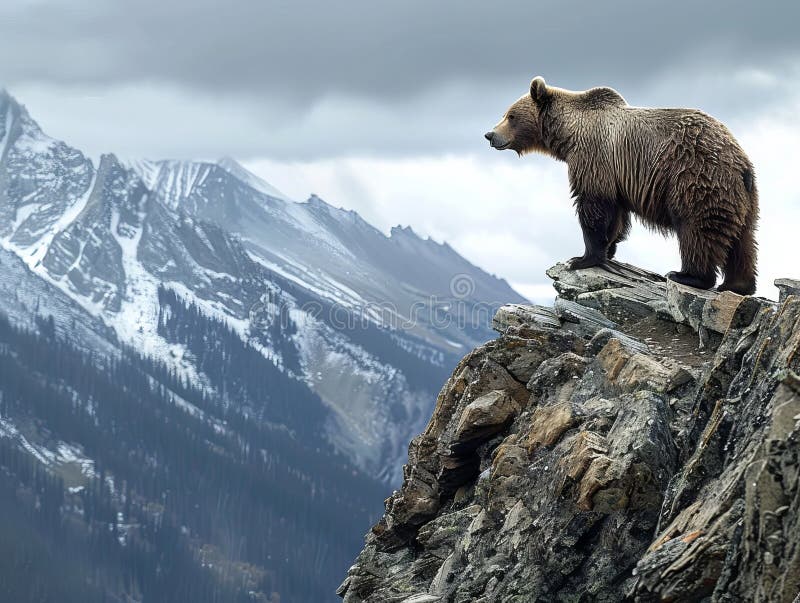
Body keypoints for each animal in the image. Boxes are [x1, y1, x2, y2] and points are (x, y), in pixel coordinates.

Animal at [485, 76, 759, 295]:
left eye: (510, 116)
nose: (489, 135)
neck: (568, 134)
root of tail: (740, 161)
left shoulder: (593, 156)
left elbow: (593, 204)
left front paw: (582, 258)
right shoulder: (617, 176)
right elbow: (615, 214)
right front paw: (609, 248)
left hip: (694, 176)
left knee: (697, 228)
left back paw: (687, 275)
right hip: (743, 196)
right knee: (744, 240)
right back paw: (737, 285)